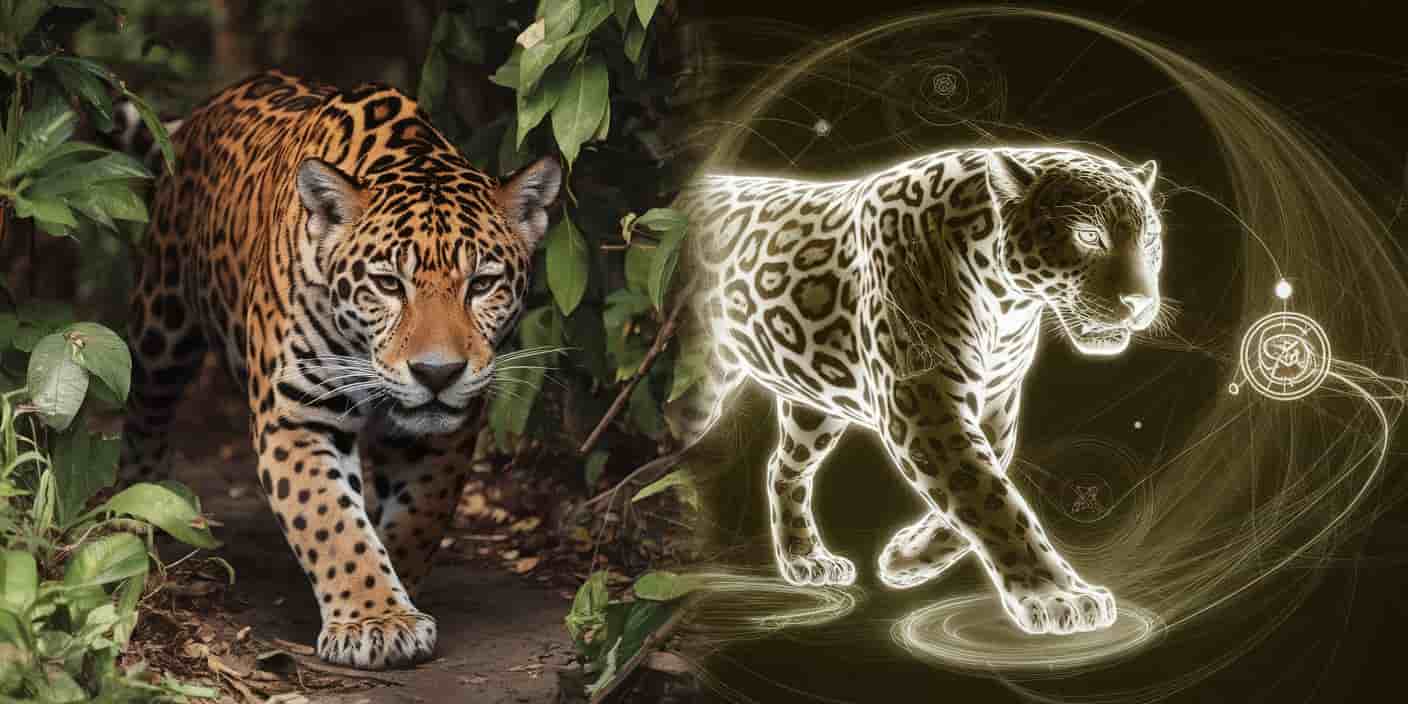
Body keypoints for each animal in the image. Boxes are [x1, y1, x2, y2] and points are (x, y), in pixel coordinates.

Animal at [116, 70, 561, 668]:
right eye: (389, 284)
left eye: (482, 285)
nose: (437, 373)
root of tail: (203, 111)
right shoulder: (297, 415)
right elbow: (330, 521)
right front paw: (376, 619)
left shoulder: (446, 432)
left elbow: (418, 516)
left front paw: (396, 588)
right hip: (160, 323)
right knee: (145, 408)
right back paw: (140, 509)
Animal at [674, 147, 1164, 635]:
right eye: (1088, 236)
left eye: (1152, 241)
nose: (1140, 303)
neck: (1008, 306)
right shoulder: (920, 402)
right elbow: (992, 499)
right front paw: (1057, 595)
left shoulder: (995, 402)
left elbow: (984, 481)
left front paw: (905, 557)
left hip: (814, 398)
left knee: (783, 465)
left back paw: (805, 559)